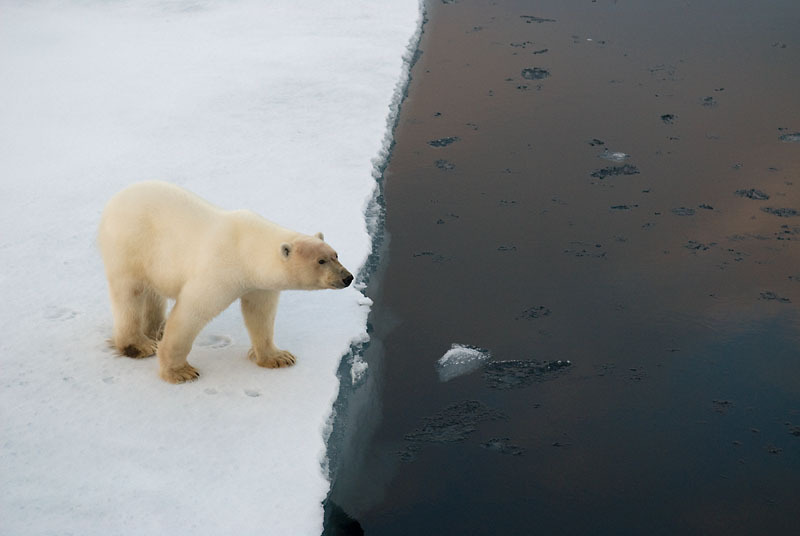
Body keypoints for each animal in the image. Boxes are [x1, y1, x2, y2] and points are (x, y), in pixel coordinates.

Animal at [97, 180, 353, 384]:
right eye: (321, 261)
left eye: (336, 255)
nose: (347, 277)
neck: (247, 247)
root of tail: (114, 200)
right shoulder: (220, 271)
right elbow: (192, 312)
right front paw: (181, 372)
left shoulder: (259, 284)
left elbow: (260, 314)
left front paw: (278, 357)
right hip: (130, 245)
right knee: (129, 293)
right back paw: (139, 345)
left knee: (153, 293)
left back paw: (156, 331)